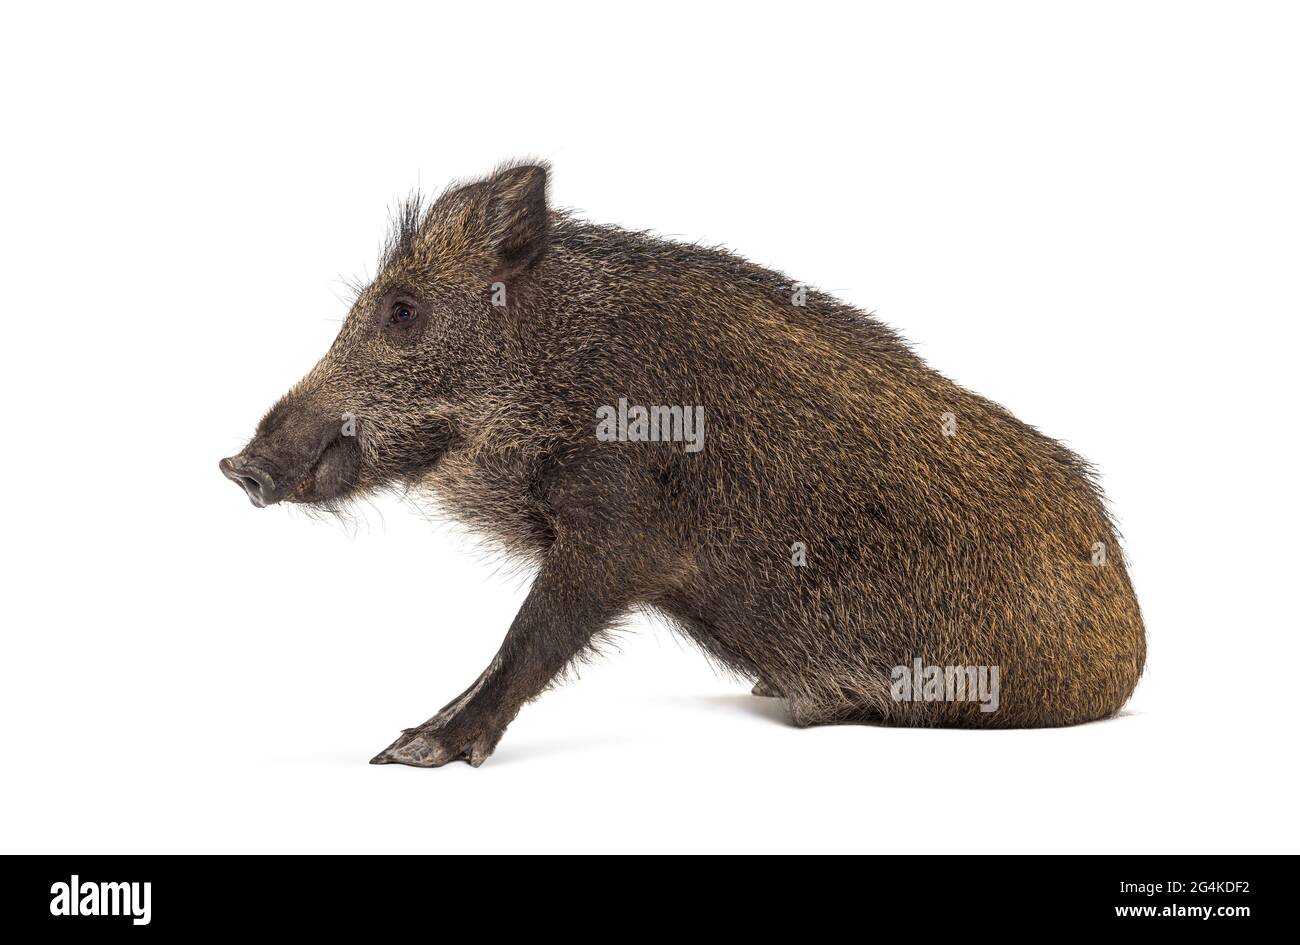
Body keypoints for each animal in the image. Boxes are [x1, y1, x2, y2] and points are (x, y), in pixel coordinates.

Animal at [220, 162, 1146, 766]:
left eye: (403, 311)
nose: (239, 465)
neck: (562, 369)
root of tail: (1134, 649)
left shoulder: (617, 529)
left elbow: (532, 635)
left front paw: (412, 749)